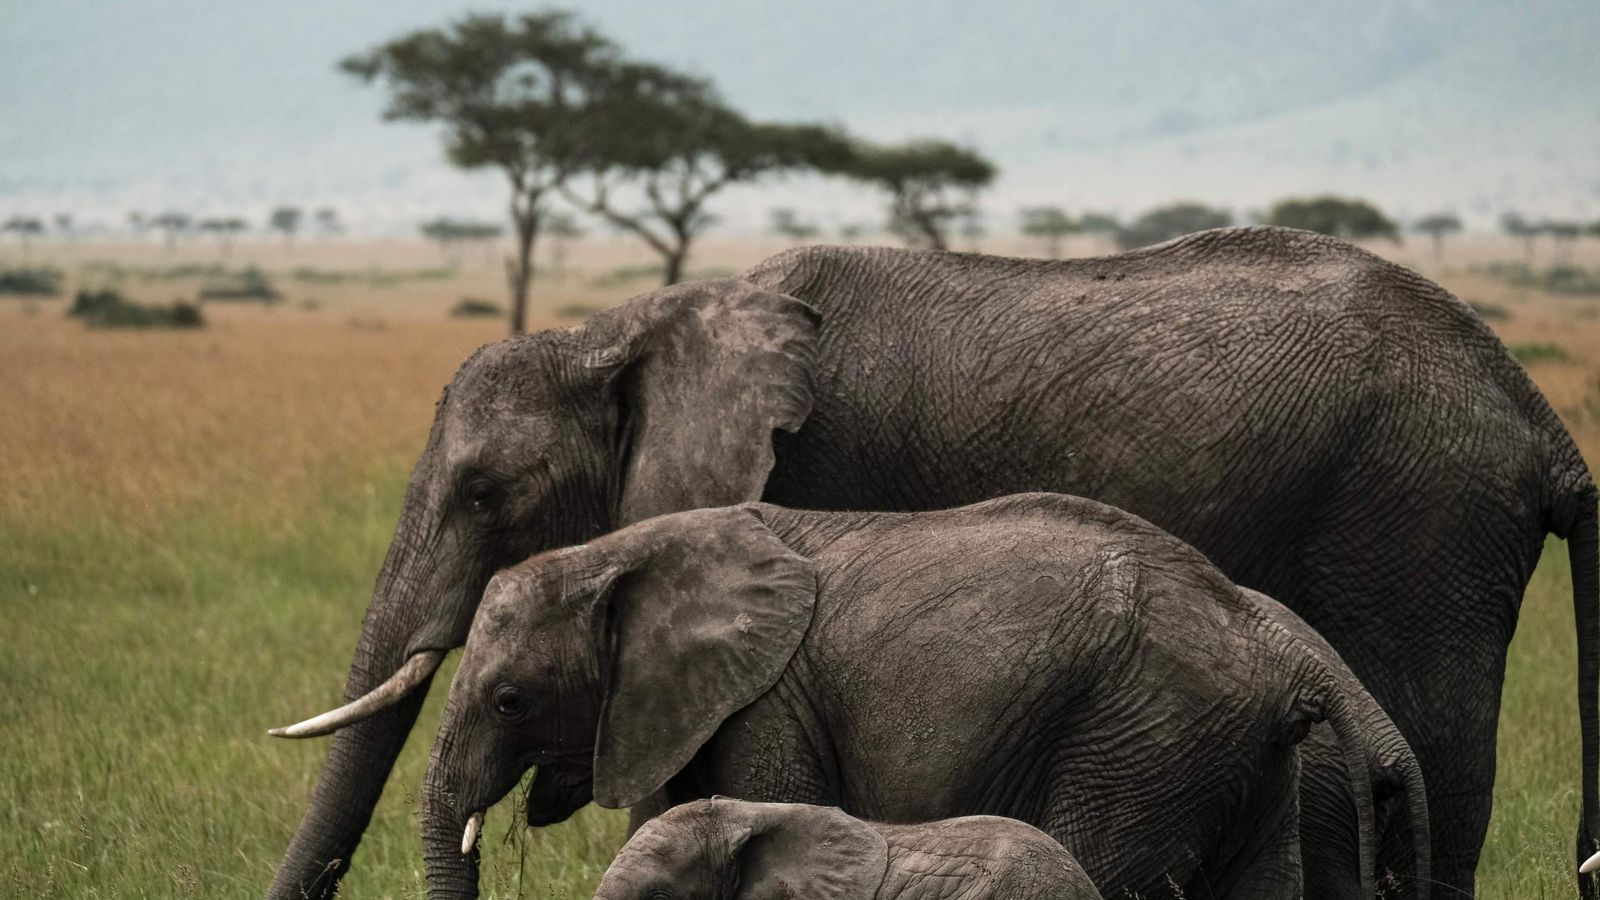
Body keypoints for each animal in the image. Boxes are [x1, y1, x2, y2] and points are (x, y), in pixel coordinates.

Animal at [419, 495, 1430, 900]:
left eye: (510, 701)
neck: (627, 548)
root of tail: (1272, 648)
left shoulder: (768, 701)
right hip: (1236, 755)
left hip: (1144, 737)